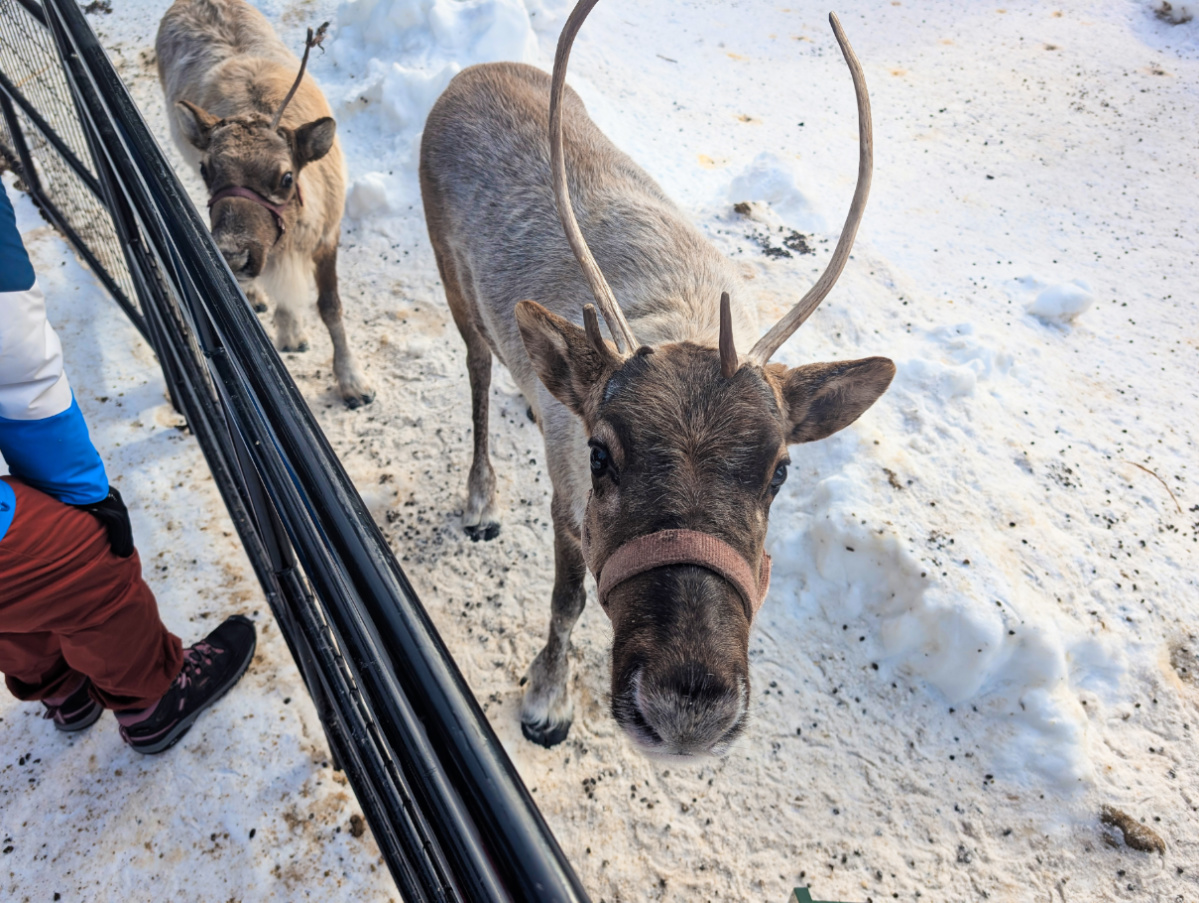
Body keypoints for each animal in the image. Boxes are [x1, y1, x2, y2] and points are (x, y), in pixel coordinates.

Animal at [156, 0, 374, 408]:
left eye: (286, 177)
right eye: (207, 169)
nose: (232, 257)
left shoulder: (327, 237)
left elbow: (330, 307)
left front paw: (352, 381)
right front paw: (288, 327)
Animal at [419, 0, 893, 756]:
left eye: (780, 472)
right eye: (600, 454)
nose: (687, 711)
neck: (688, 320)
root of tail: (471, 72)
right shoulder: (567, 501)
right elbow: (566, 601)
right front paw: (546, 701)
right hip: (455, 285)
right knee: (477, 372)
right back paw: (481, 499)